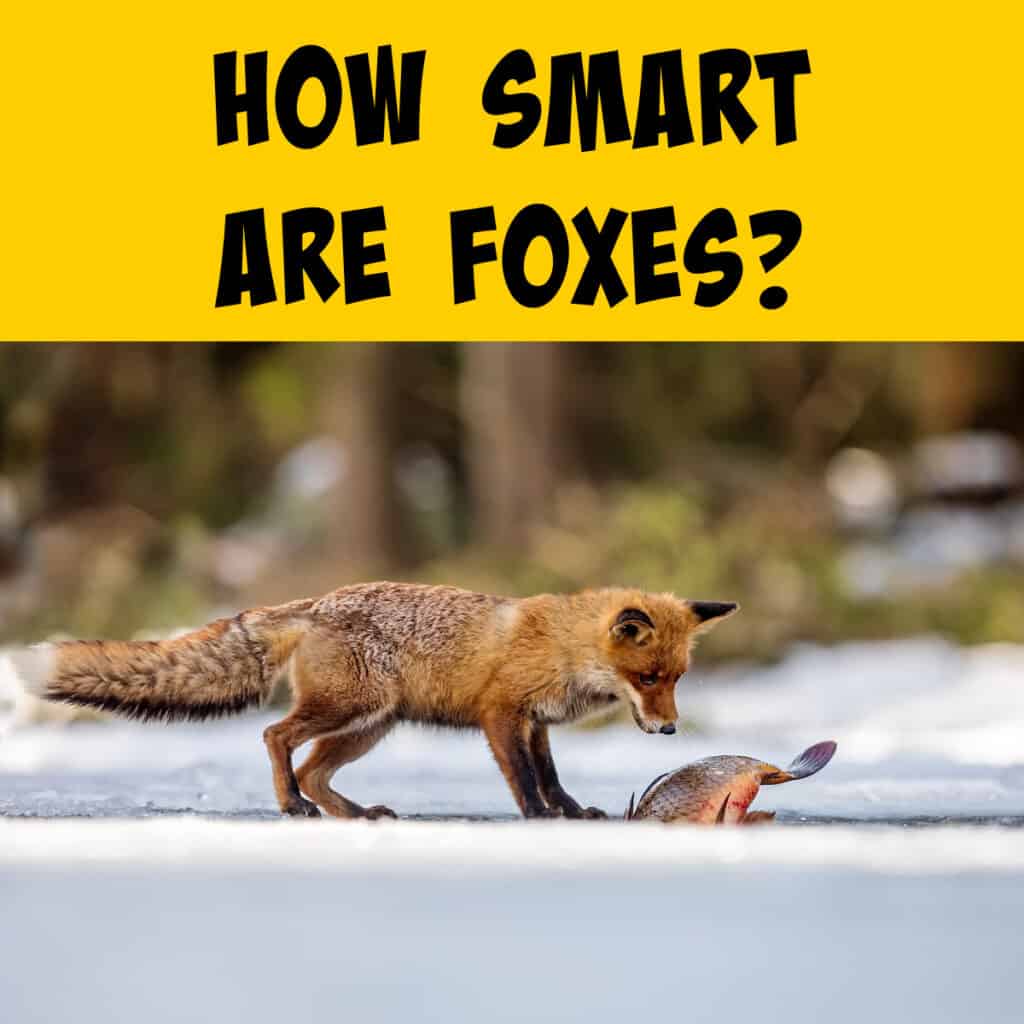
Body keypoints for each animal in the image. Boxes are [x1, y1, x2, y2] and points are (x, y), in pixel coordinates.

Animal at [9, 582, 737, 820]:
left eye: (677, 678)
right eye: (650, 677)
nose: (671, 732)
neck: (561, 647)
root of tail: (317, 602)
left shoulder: (538, 724)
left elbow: (553, 776)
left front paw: (572, 811)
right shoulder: (501, 715)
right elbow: (526, 782)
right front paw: (538, 817)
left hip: (370, 728)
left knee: (313, 768)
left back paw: (352, 814)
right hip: (348, 711)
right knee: (276, 738)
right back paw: (291, 805)